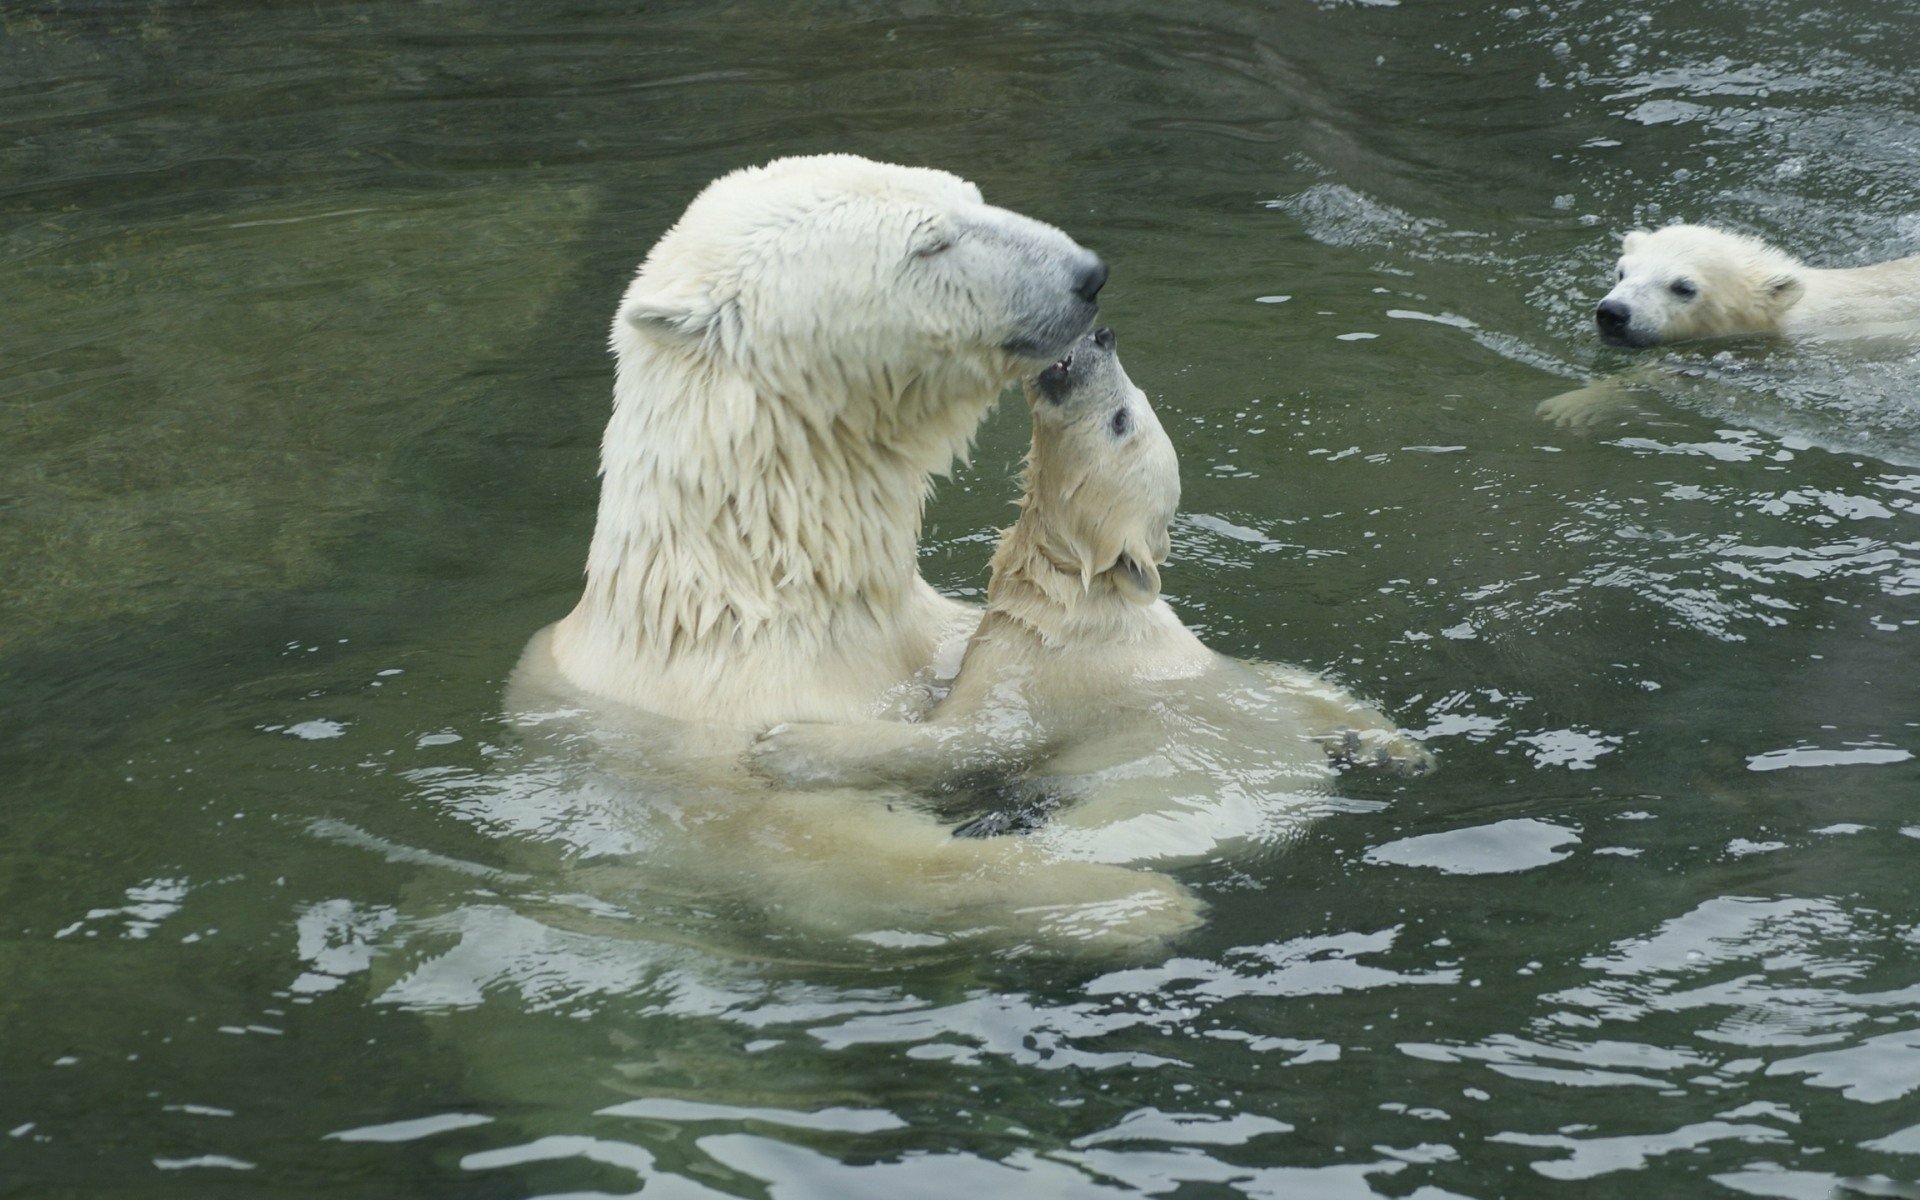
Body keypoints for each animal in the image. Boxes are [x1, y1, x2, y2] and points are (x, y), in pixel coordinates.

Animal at [749, 327, 1432, 865]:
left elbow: (969, 738)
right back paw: (1390, 749)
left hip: (1166, 798)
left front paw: (786, 744)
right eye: (1137, 403)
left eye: (1122, 419)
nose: (1102, 336)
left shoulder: (1048, 673)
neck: (1074, 593)